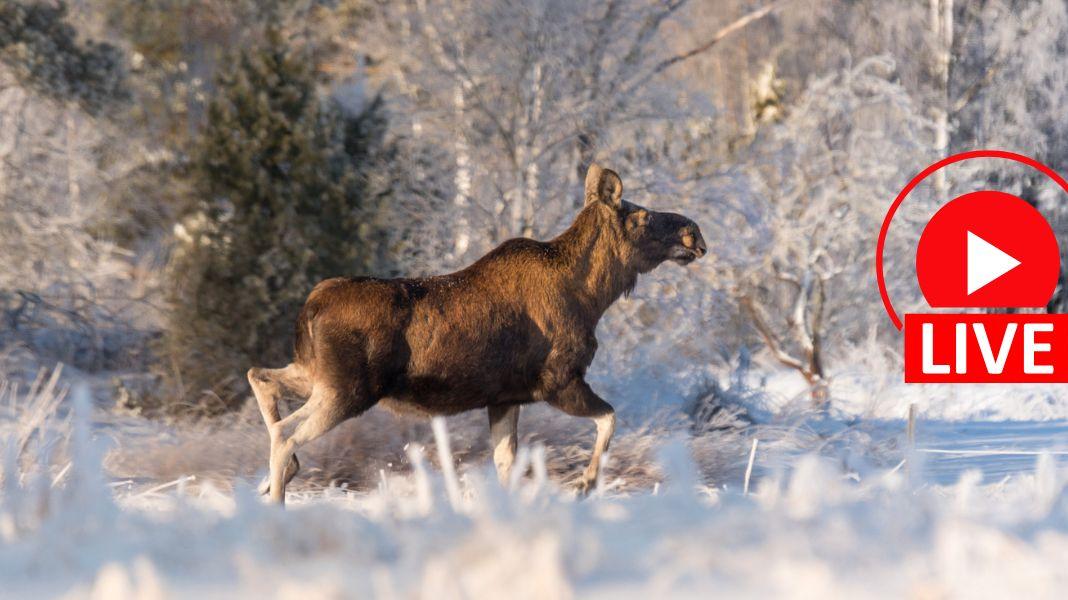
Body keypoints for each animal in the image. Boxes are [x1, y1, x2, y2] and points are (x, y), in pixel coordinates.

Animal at [247, 164, 707, 504]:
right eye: (643, 218)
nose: (695, 233)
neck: (594, 297)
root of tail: (310, 306)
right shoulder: (558, 380)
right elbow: (609, 418)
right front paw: (585, 484)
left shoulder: (505, 397)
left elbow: (506, 464)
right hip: (349, 388)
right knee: (286, 430)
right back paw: (277, 499)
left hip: (316, 373)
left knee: (260, 377)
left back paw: (273, 479)